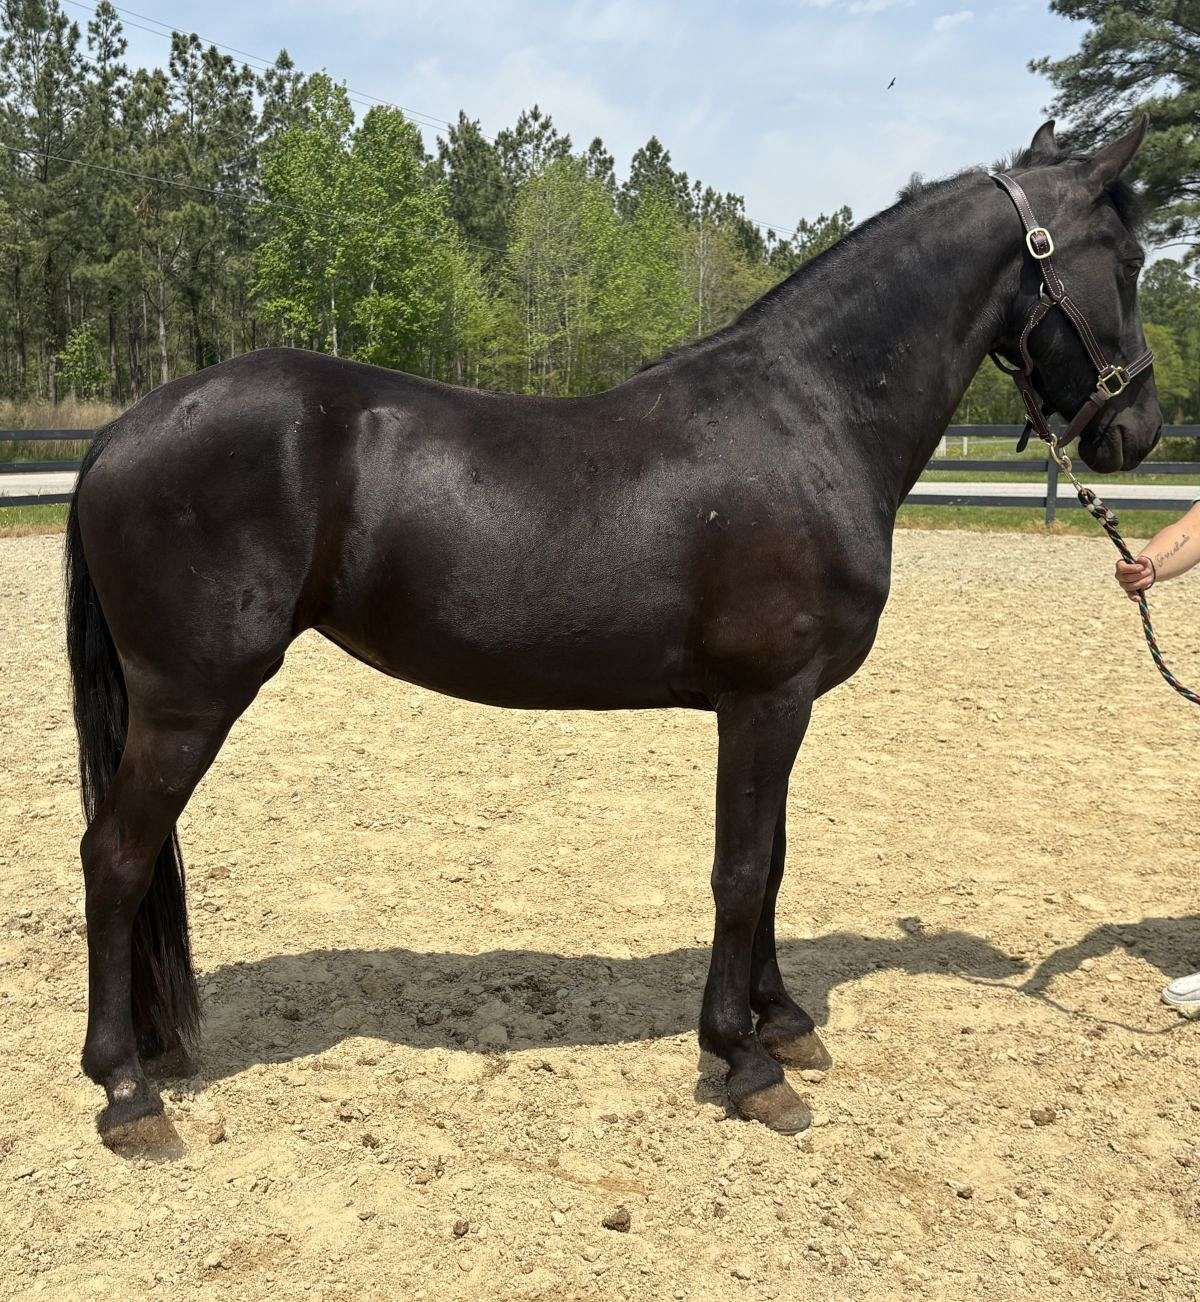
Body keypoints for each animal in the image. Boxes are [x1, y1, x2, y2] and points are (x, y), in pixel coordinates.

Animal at [65, 119, 1162, 1145]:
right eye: (1127, 257)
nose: (1139, 432)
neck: (812, 417)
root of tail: (121, 429)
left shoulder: (785, 704)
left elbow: (776, 859)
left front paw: (784, 1020)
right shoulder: (765, 700)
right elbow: (742, 871)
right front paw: (744, 1062)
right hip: (189, 700)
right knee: (116, 854)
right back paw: (124, 1090)